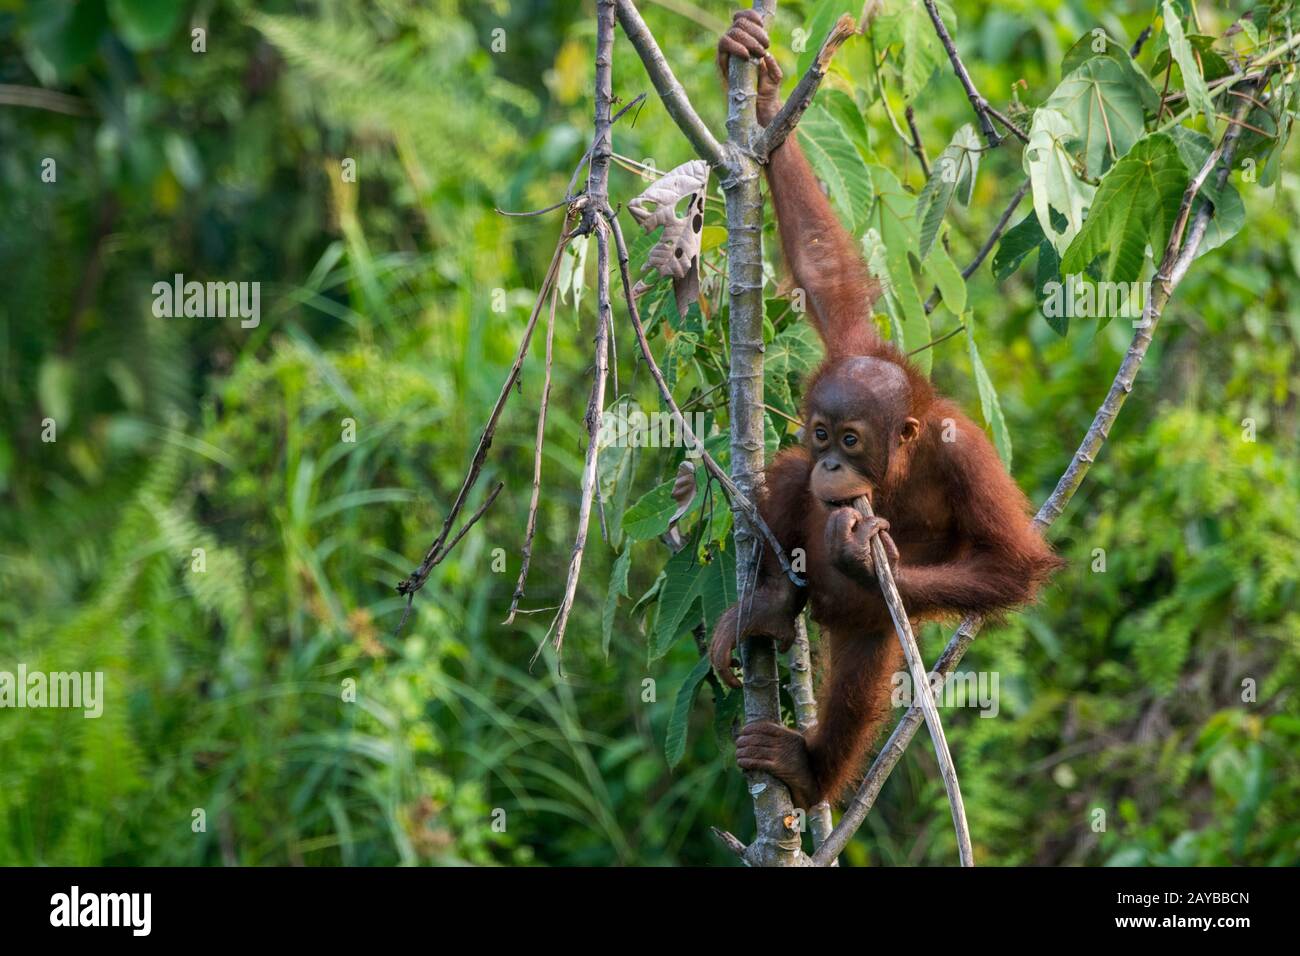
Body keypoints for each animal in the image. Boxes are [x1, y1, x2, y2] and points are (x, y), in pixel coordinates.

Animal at [710, 10, 1063, 810]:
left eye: (851, 438)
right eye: (822, 432)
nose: (832, 462)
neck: (901, 453)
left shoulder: (966, 452)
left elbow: (1012, 564)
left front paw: (863, 554)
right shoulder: (852, 346)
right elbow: (822, 265)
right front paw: (766, 83)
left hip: (862, 635)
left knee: (858, 686)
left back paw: (807, 772)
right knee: (786, 477)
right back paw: (769, 604)